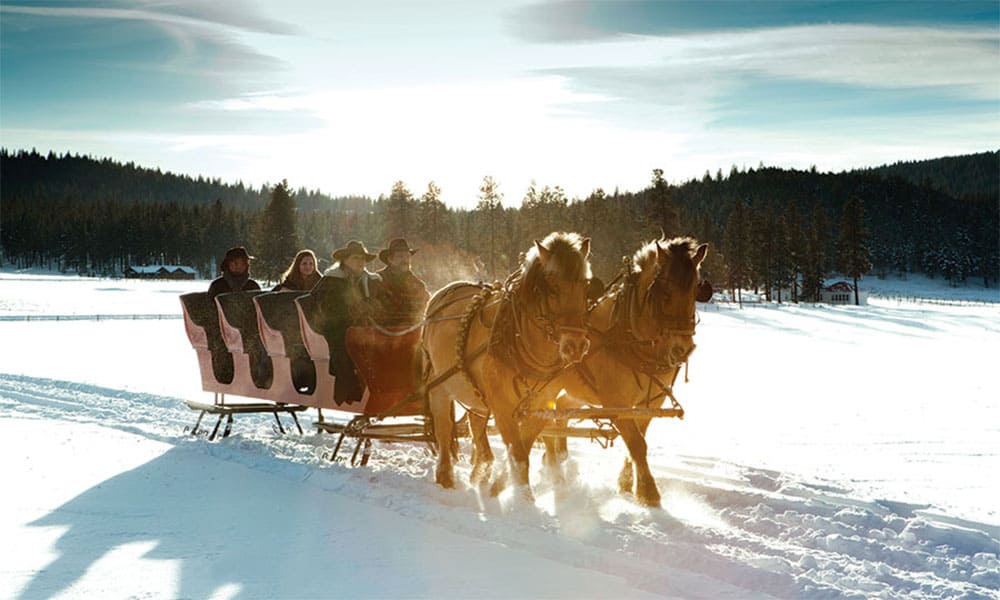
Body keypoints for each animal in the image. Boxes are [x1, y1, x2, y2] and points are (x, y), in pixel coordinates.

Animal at [420, 232, 592, 496]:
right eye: (552, 289)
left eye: (584, 286)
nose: (576, 345)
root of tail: (440, 294)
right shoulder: (502, 404)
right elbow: (519, 456)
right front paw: (523, 499)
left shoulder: (540, 406)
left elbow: (522, 448)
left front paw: (498, 486)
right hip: (439, 385)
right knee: (443, 428)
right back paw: (446, 476)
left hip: (475, 392)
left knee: (476, 425)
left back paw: (480, 473)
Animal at [540, 237, 710, 507]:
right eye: (666, 293)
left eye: (695, 291)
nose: (683, 349)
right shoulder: (616, 401)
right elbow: (637, 443)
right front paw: (649, 493)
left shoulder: (649, 403)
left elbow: (638, 437)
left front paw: (627, 482)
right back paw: (553, 463)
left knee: (562, 411)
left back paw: (559, 455)